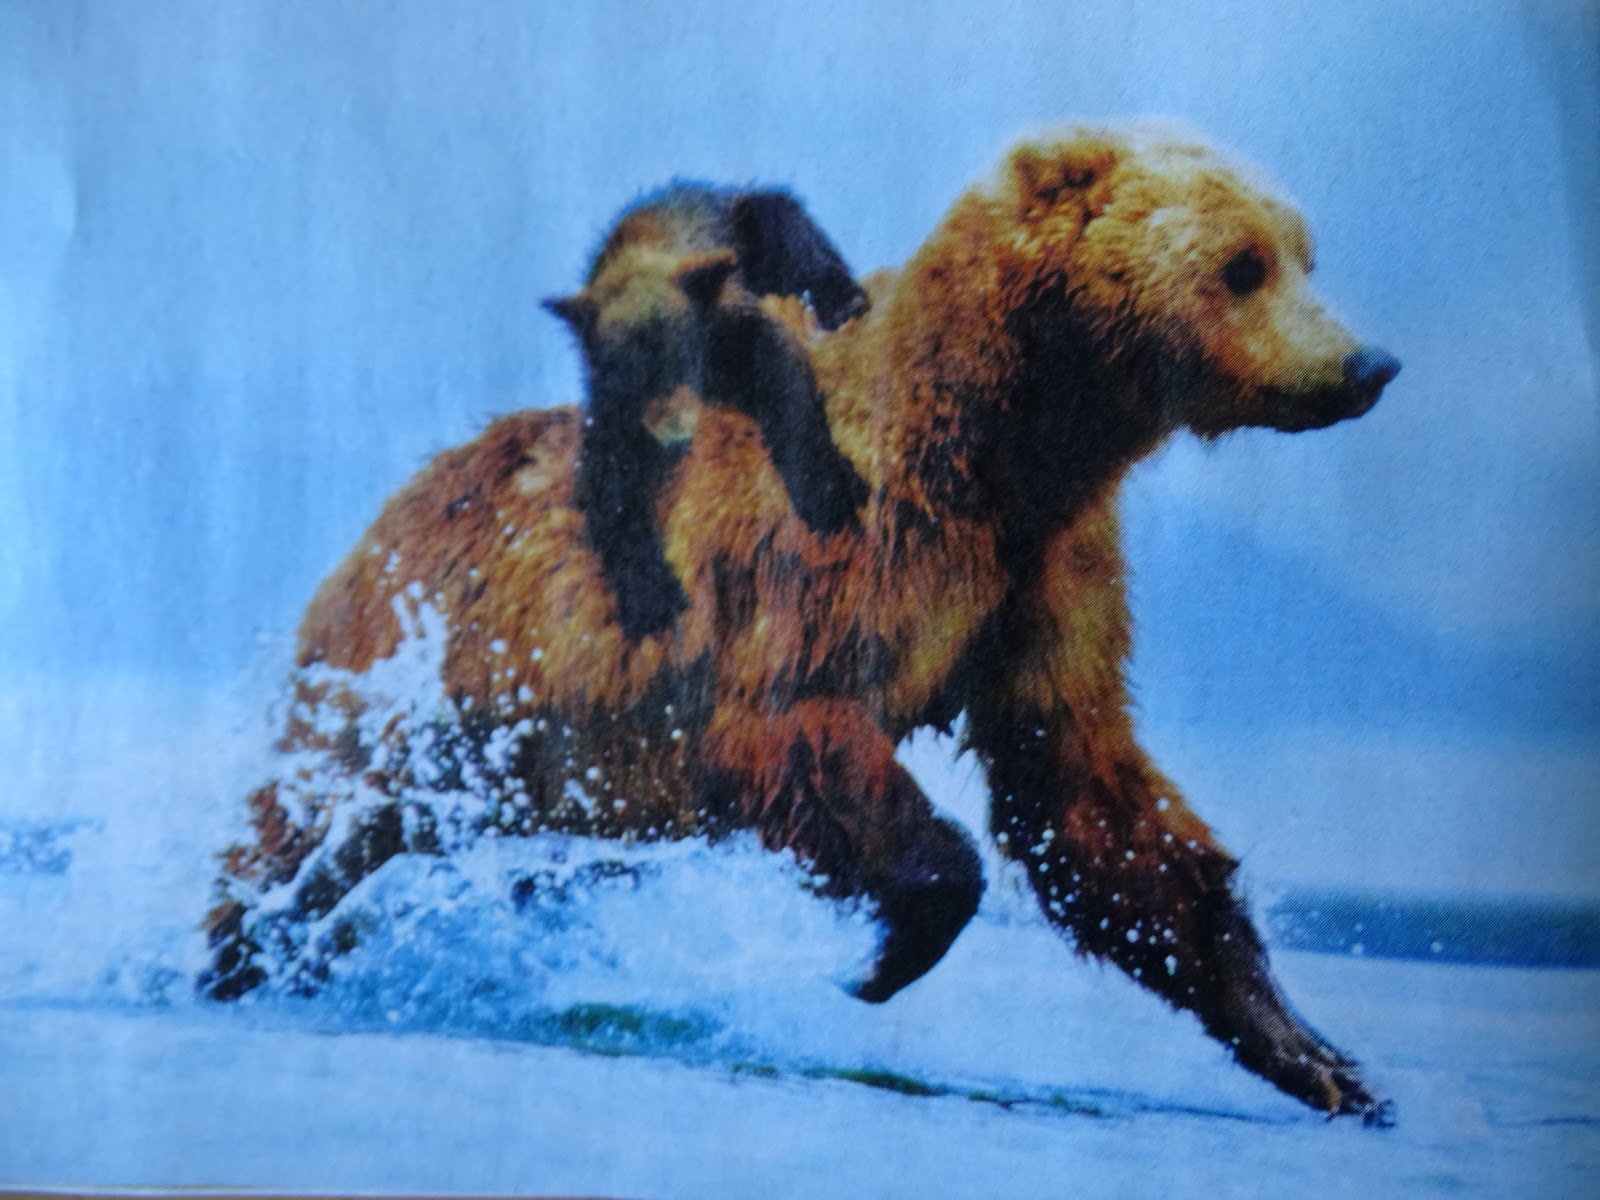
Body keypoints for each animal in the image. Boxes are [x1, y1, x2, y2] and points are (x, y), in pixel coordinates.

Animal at [546, 186, 872, 641]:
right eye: (626, 373)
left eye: (681, 357)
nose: (675, 435)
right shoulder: (611, 409)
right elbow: (607, 487)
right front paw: (647, 593)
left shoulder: (731, 323)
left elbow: (781, 378)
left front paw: (827, 490)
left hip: (760, 222)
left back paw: (843, 302)